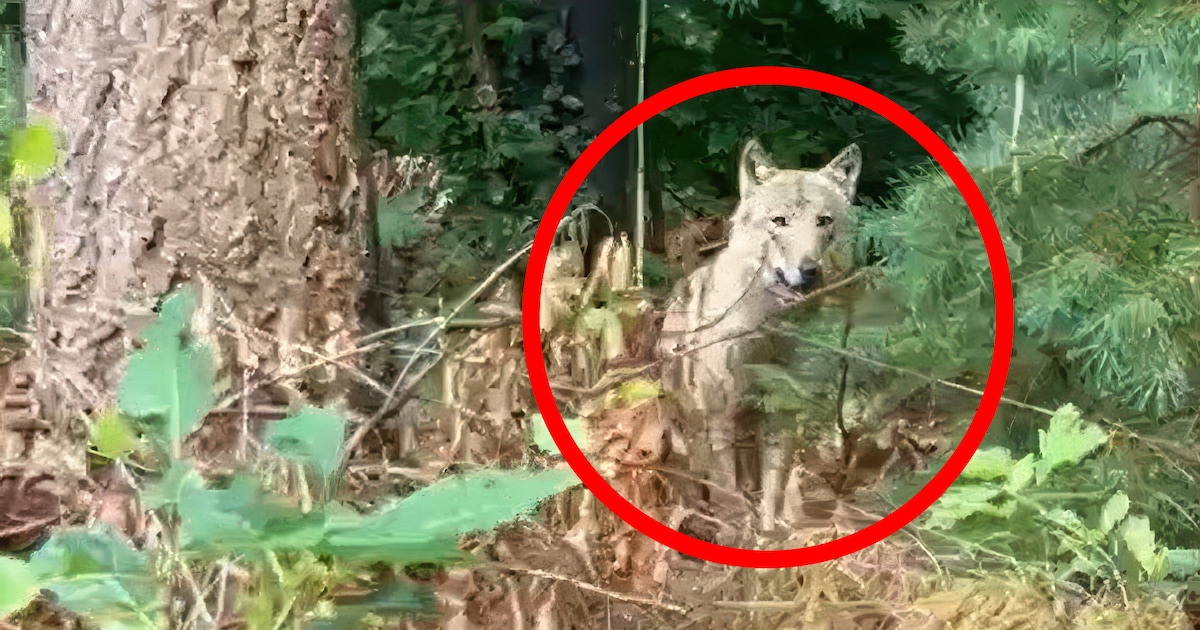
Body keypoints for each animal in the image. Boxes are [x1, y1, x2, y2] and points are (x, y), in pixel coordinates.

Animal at [658, 138, 861, 533]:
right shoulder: (720, 415)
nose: (809, 271)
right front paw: (734, 530)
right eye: (779, 221)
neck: (770, 330)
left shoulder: (782, 412)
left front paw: (769, 532)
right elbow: (727, 492)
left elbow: (774, 483)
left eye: (824, 221)